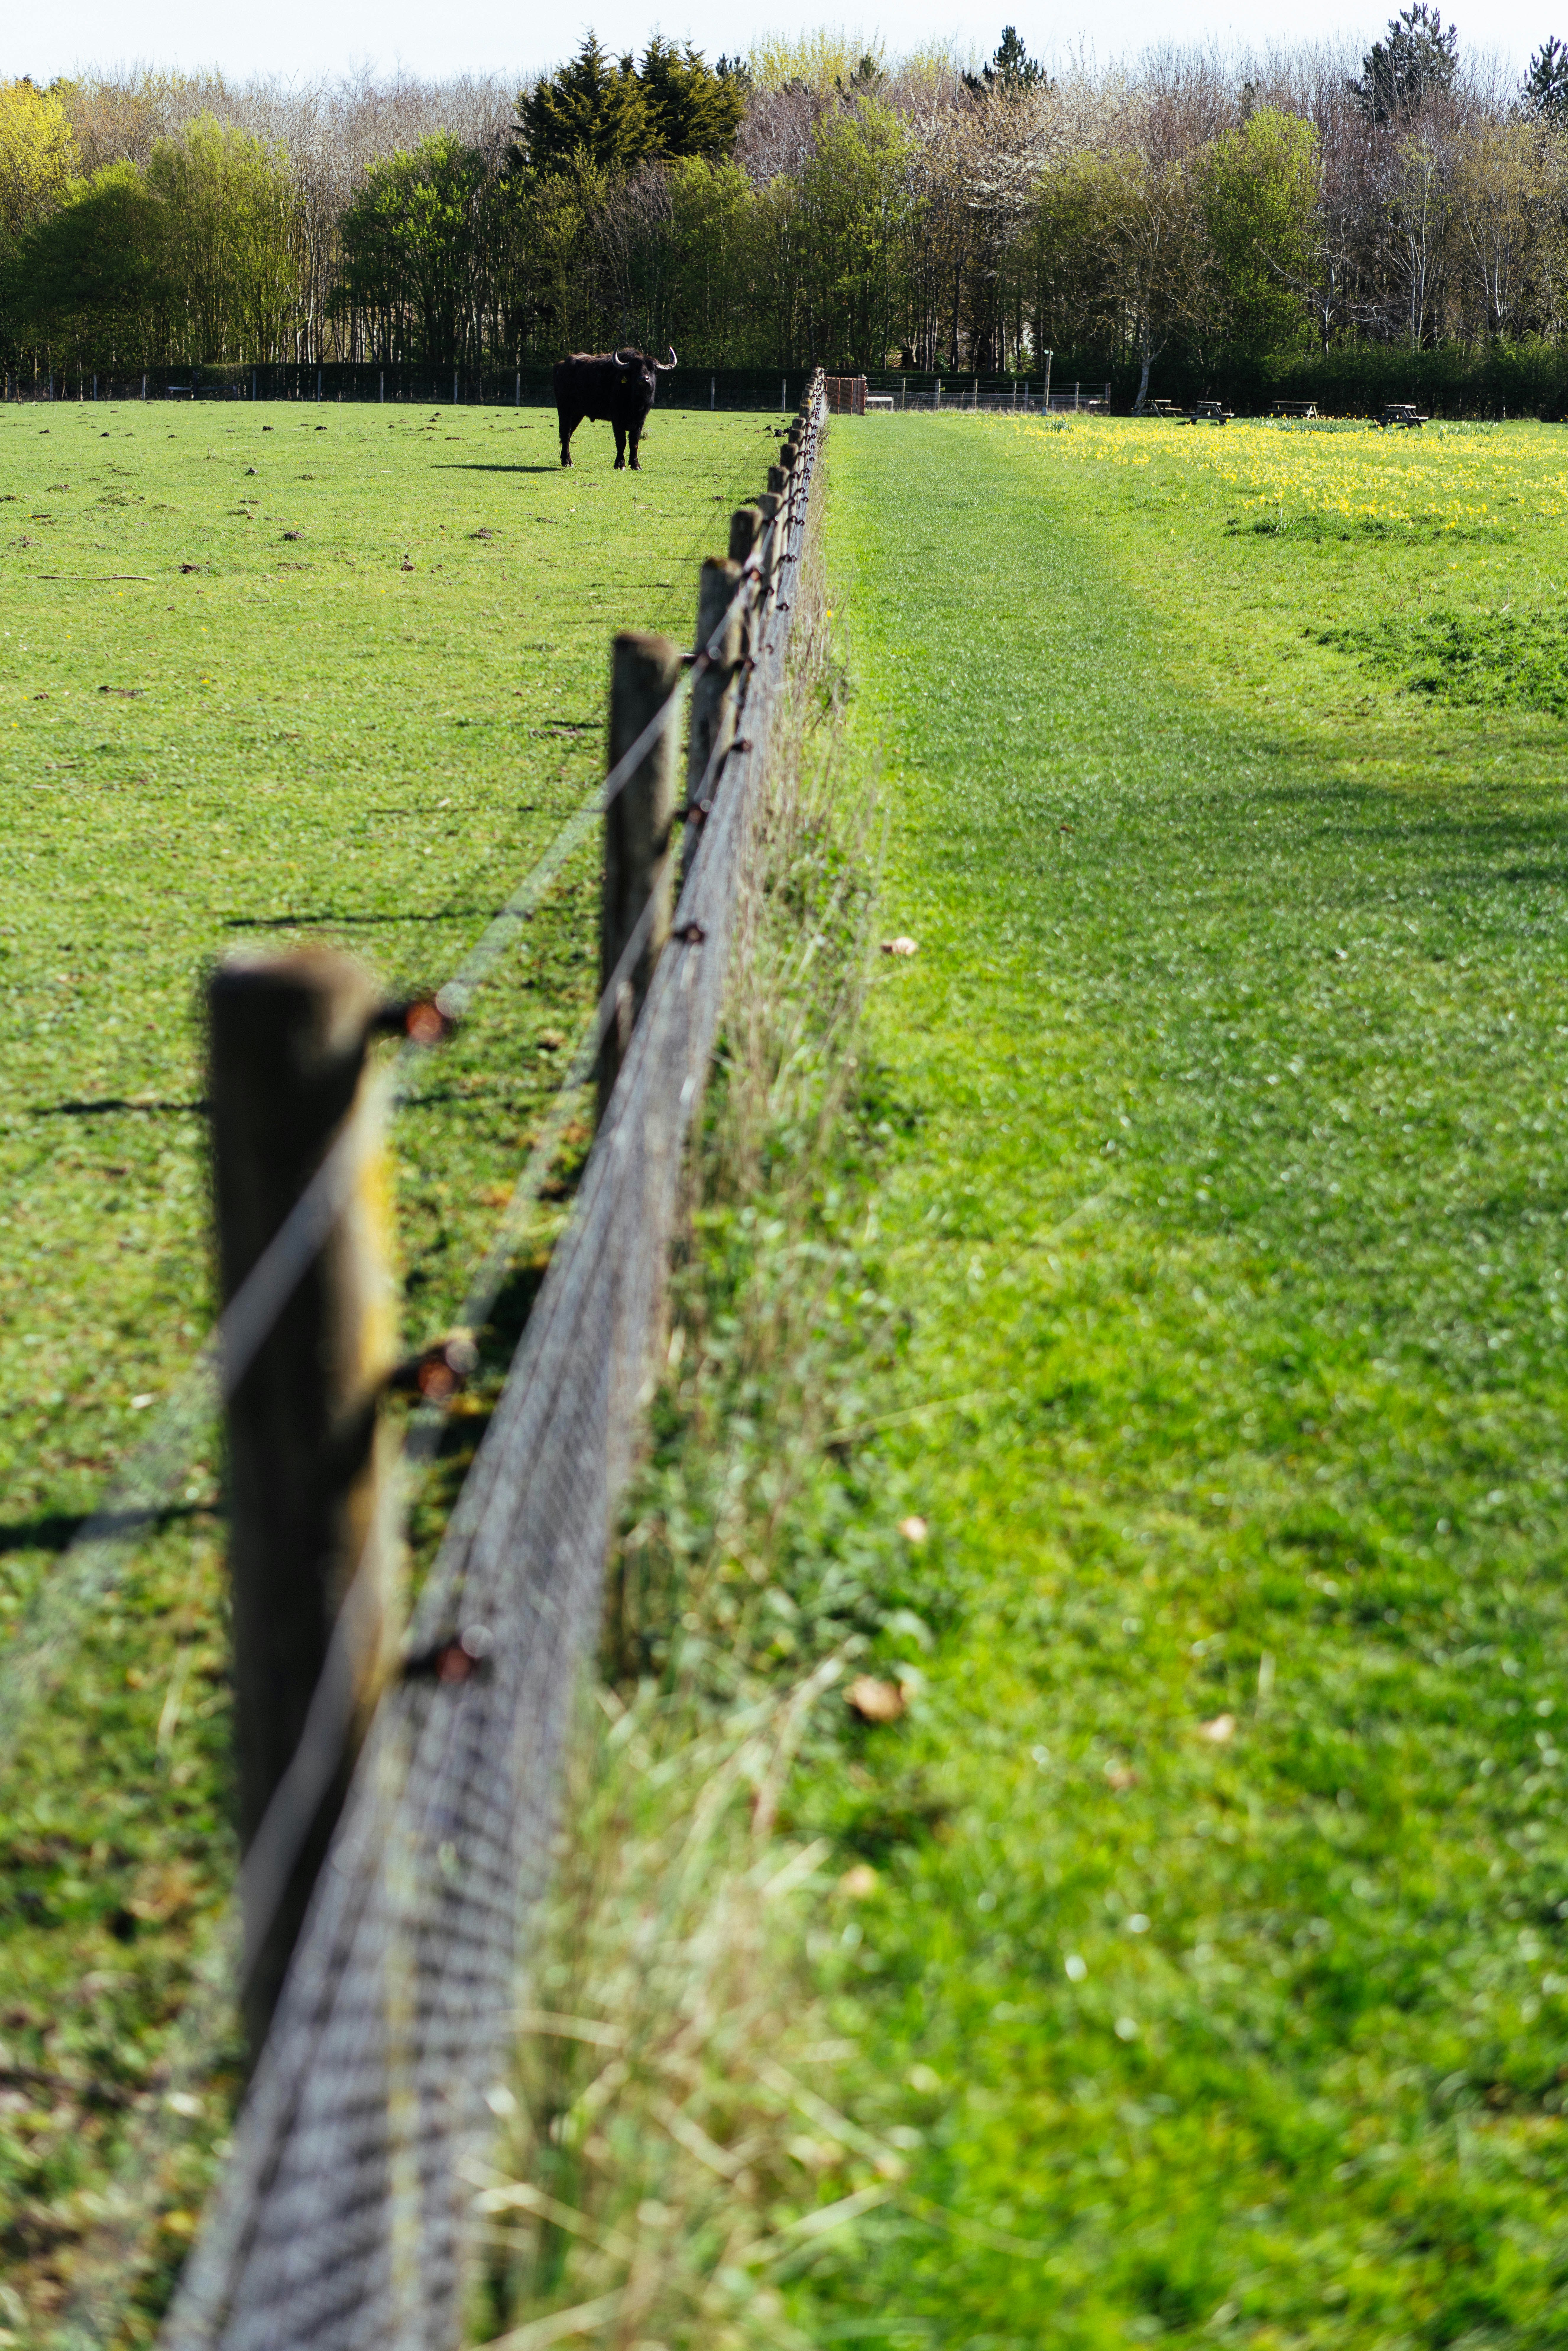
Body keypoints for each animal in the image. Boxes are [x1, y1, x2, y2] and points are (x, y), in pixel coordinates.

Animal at [553, 345, 677, 472]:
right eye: (635, 369)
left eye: (652, 369)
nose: (644, 379)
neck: (635, 402)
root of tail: (560, 366)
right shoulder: (617, 420)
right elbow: (622, 442)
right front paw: (620, 464)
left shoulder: (641, 420)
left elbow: (635, 442)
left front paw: (636, 465)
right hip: (565, 410)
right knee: (565, 433)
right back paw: (568, 462)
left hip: (578, 414)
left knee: (569, 434)